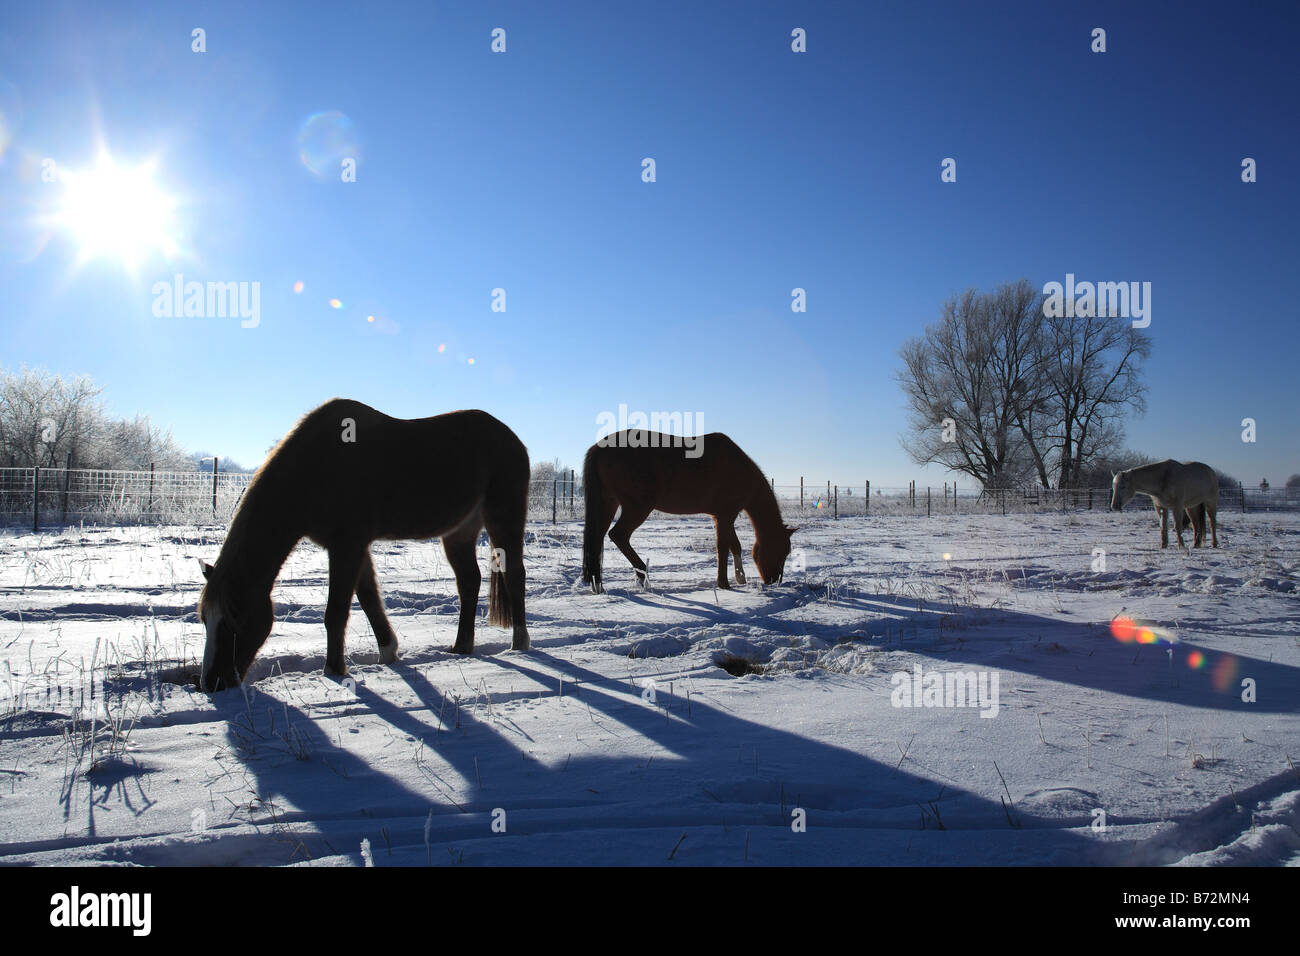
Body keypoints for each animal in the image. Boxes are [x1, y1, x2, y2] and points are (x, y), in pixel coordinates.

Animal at [198, 399, 530, 691]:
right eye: (204, 619)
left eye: (235, 619)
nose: (212, 683)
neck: (316, 466)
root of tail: (513, 439)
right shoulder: (352, 547)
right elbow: (368, 597)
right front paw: (388, 651)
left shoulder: (347, 546)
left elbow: (336, 611)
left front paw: (333, 670)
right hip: (459, 532)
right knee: (469, 581)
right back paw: (461, 646)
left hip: (504, 521)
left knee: (514, 576)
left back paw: (520, 643)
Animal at [581, 430, 796, 592]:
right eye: (781, 551)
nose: (774, 580)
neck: (740, 470)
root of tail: (598, 448)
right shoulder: (725, 516)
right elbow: (723, 548)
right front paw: (724, 584)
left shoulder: (723, 517)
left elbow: (735, 546)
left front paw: (740, 578)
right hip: (638, 508)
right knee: (618, 535)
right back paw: (642, 574)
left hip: (608, 504)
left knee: (597, 539)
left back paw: (598, 585)